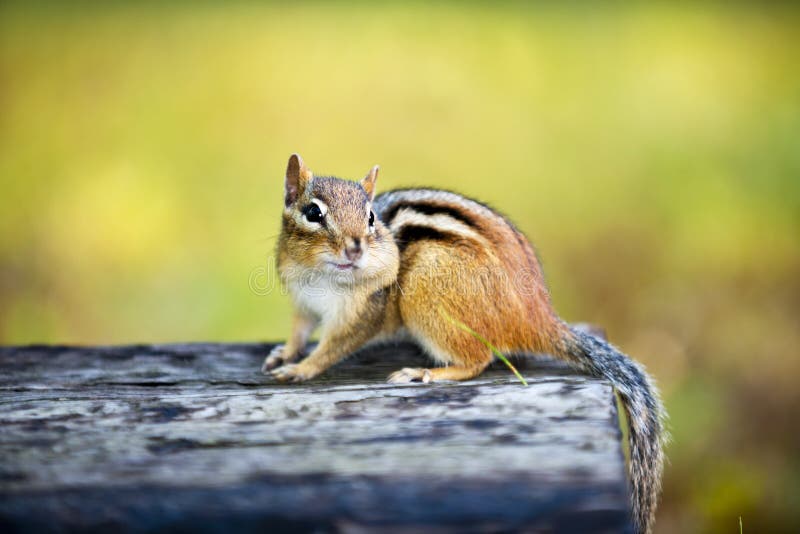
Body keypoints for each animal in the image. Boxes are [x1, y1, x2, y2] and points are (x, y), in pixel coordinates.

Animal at [262, 153, 667, 534]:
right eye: (313, 213)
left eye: (371, 217)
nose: (355, 249)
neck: (321, 277)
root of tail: (537, 317)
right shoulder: (302, 302)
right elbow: (300, 330)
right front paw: (285, 353)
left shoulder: (363, 314)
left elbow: (332, 347)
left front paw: (301, 368)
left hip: (424, 296)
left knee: (478, 359)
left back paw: (426, 372)